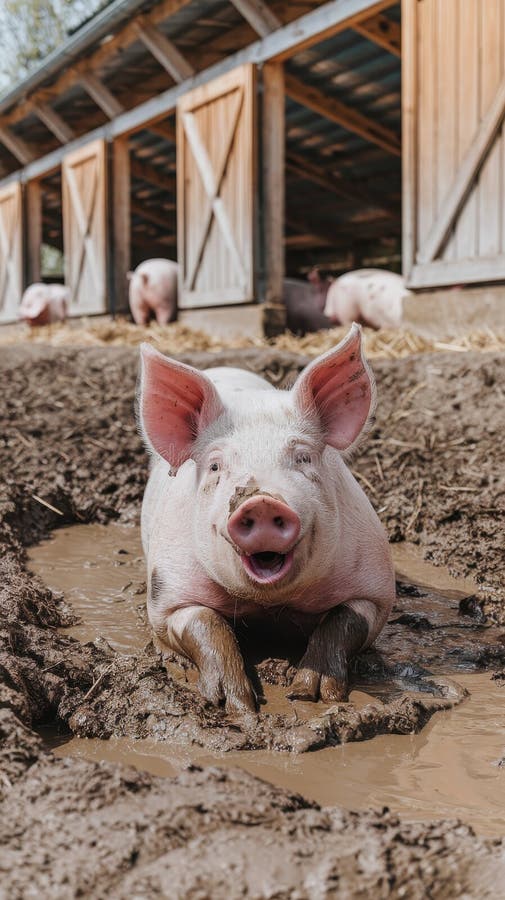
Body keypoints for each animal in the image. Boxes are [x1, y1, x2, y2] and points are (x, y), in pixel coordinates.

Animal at [138, 324, 395, 715]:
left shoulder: (375, 589)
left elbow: (343, 621)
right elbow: (207, 624)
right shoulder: (168, 594)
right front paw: (236, 703)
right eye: (215, 466)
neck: (268, 606)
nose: (261, 501)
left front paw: (308, 693)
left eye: (303, 457)